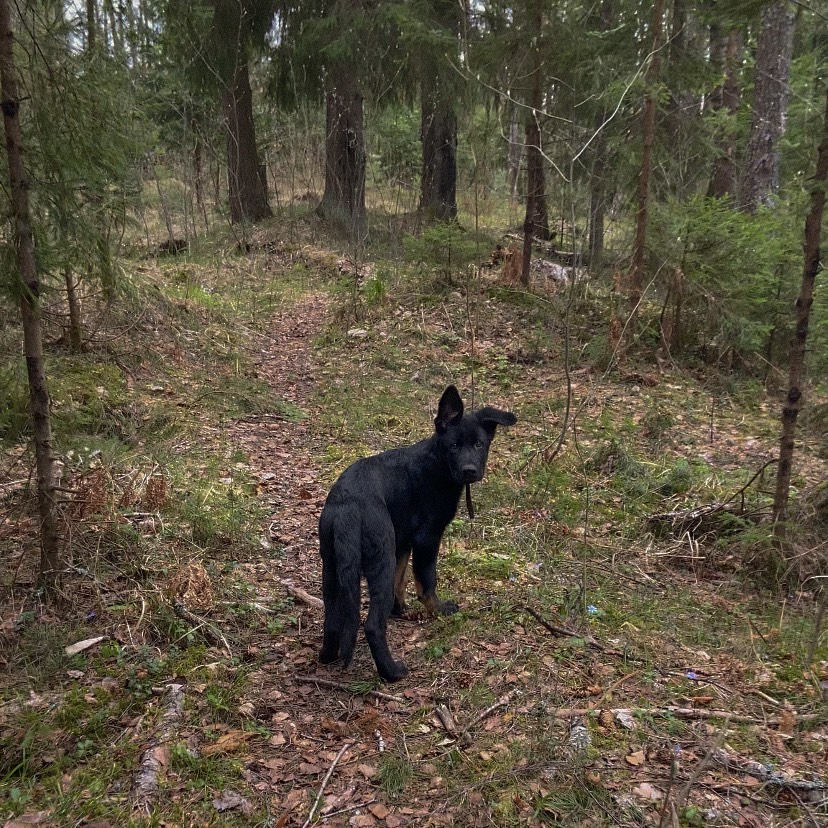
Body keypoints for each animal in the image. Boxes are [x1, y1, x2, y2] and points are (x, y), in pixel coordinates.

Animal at [318, 384, 516, 684]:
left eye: (479, 445)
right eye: (453, 446)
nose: (469, 471)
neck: (437, 464)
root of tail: (348, 505)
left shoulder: (403, 541)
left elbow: (399, 581)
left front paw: (400, 610)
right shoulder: (427, 538)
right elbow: (427, 581)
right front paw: (439, 611)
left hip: (332, 564)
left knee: (332, 618)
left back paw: (328, 656)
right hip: (381, 556)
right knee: (372, 624)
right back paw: (391, 672)